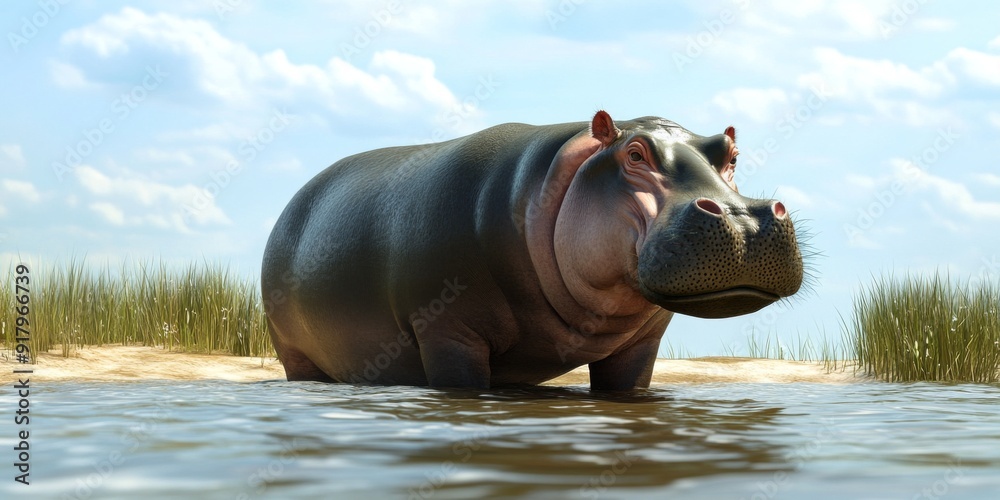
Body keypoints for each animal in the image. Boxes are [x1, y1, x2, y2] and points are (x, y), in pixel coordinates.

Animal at [262, 111, 803, 390]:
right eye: (634, 154)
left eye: (730, 154)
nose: (743, 216)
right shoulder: (448, 333)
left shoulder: (641, 347)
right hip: (294, 352)